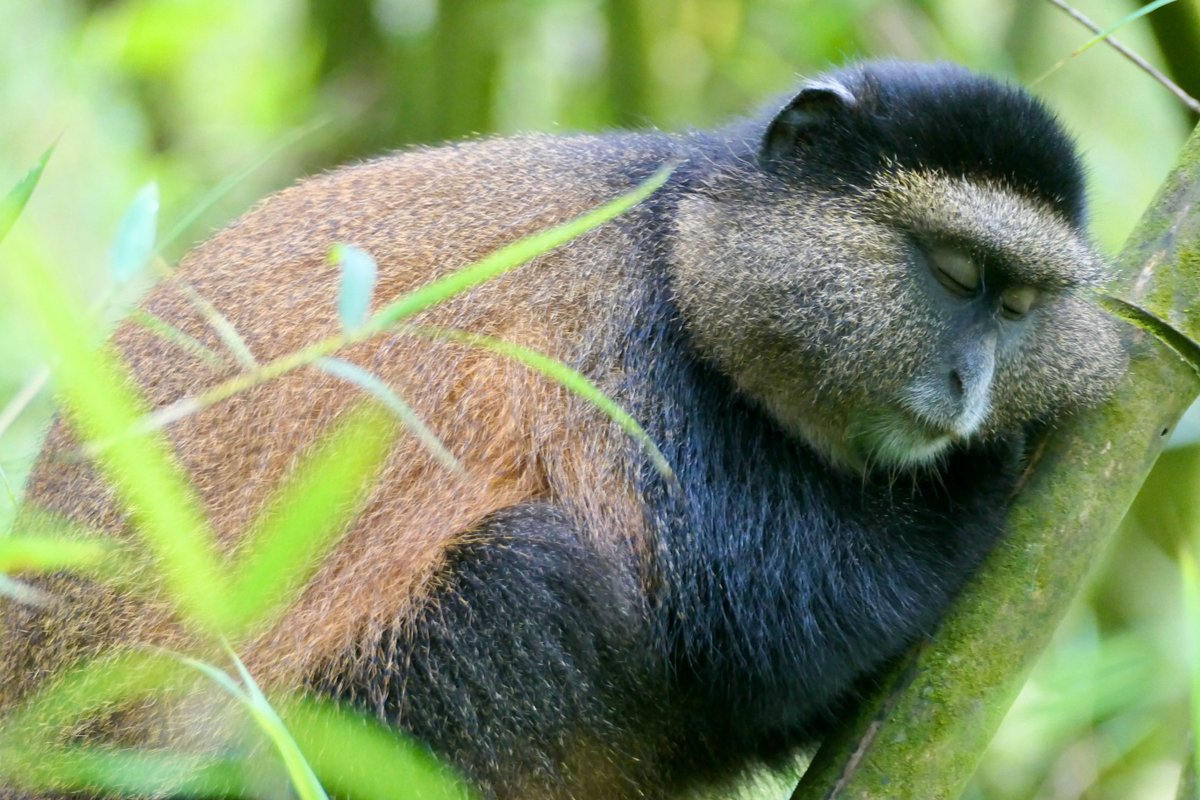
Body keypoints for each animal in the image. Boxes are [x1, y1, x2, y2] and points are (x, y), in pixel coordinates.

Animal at [0, 60, 1126, 799]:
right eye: (956, 273)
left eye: (1019, 306)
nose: (971, 387)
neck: (686, 242)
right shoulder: (629, 367)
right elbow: (757, 622)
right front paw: (993, 471)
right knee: (526, 579)